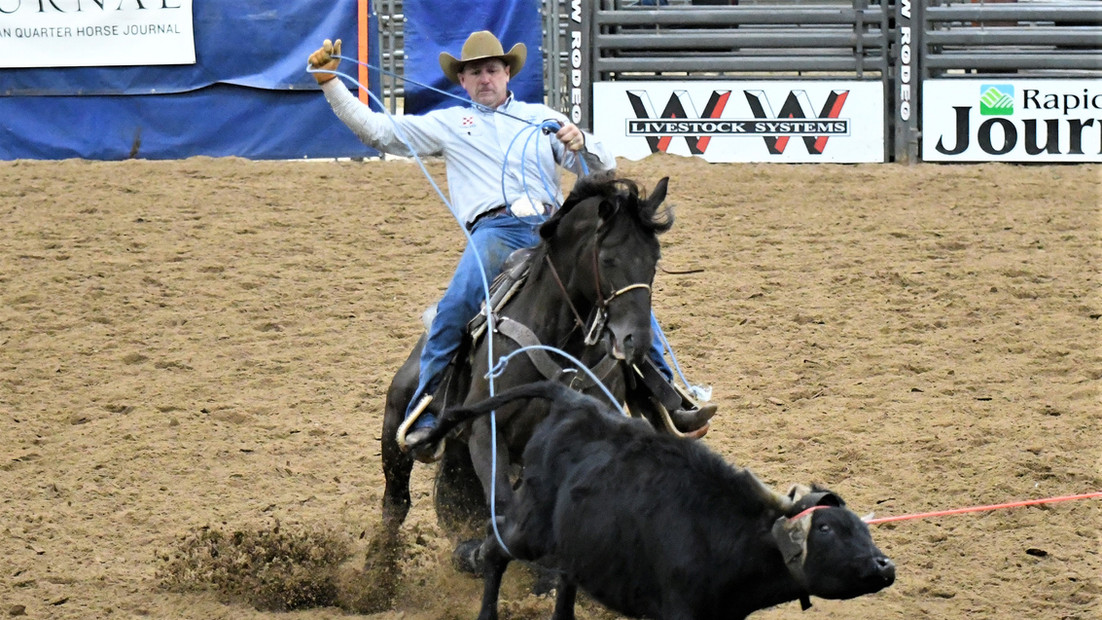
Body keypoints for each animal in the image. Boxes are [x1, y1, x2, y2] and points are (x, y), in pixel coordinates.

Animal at [379, 172, 679, 546]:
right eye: (608, 259)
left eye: (654, 260)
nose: (635, 340)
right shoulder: (486, 431)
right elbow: (502, 505)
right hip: (396, 430)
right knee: (396, 504)